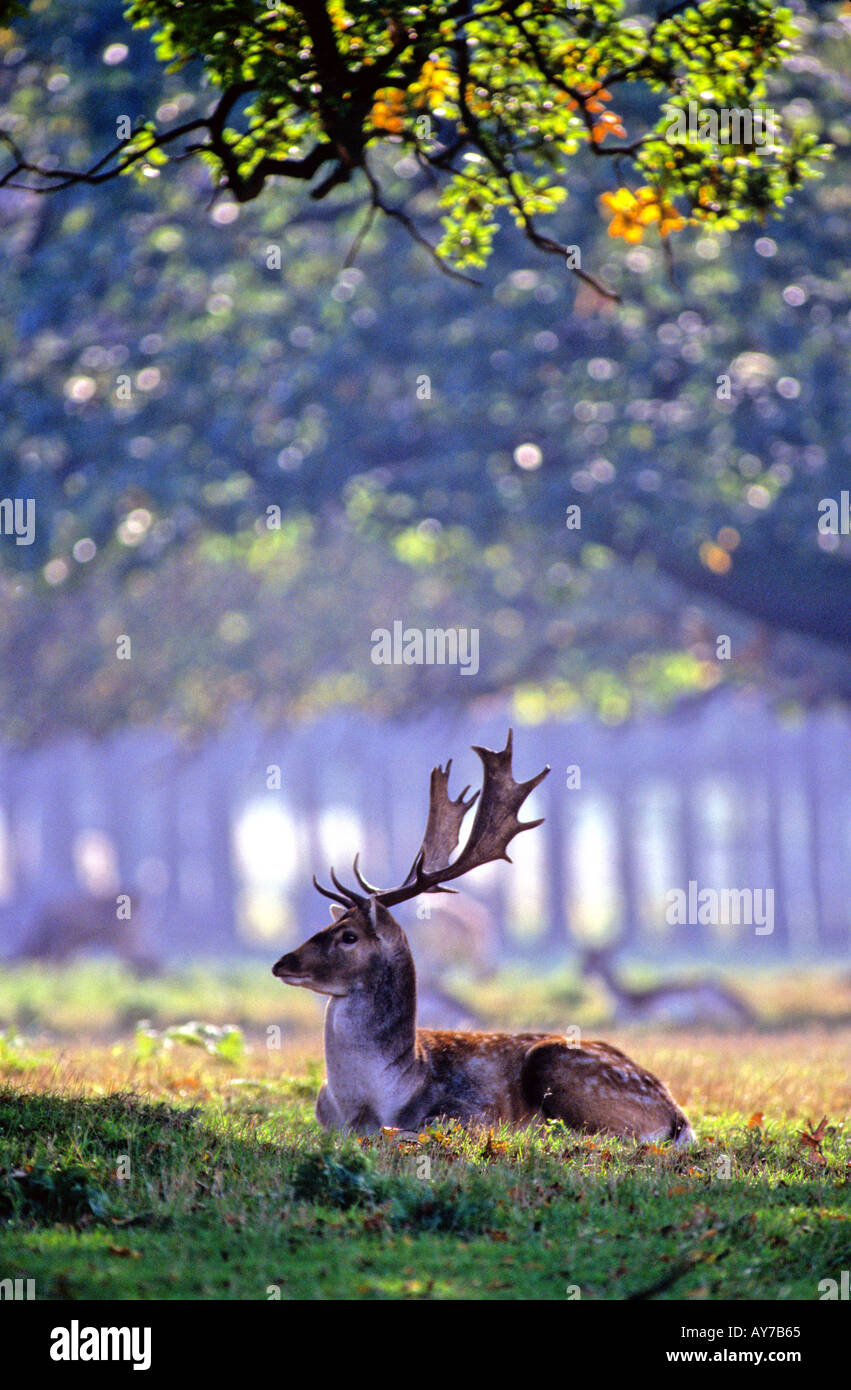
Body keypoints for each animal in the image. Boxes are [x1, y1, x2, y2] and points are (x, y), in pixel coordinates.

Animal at [272, 731, 694, 1144]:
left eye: (348, 936)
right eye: (329, 925)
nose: (282, 963)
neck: (366, 1104)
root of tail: (677, 1116)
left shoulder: (473, 1112)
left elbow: (408, 1131)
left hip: (563, 1067)